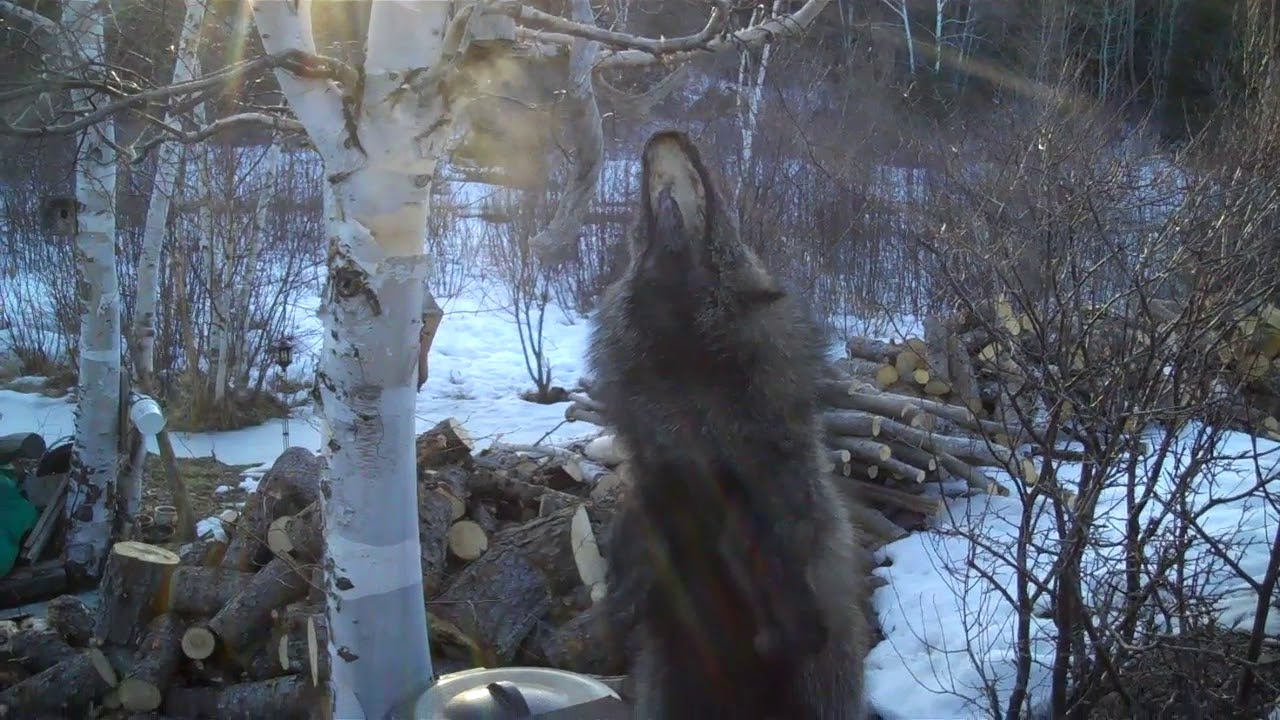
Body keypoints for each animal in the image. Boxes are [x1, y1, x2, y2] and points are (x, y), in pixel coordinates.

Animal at [587, 129, 869, 719]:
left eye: (734, 224)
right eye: (635, 232)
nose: (666, 135)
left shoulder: (778, 493)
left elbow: (779, 548)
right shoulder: (657, 483)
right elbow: (634, 544)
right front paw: (612, 613)